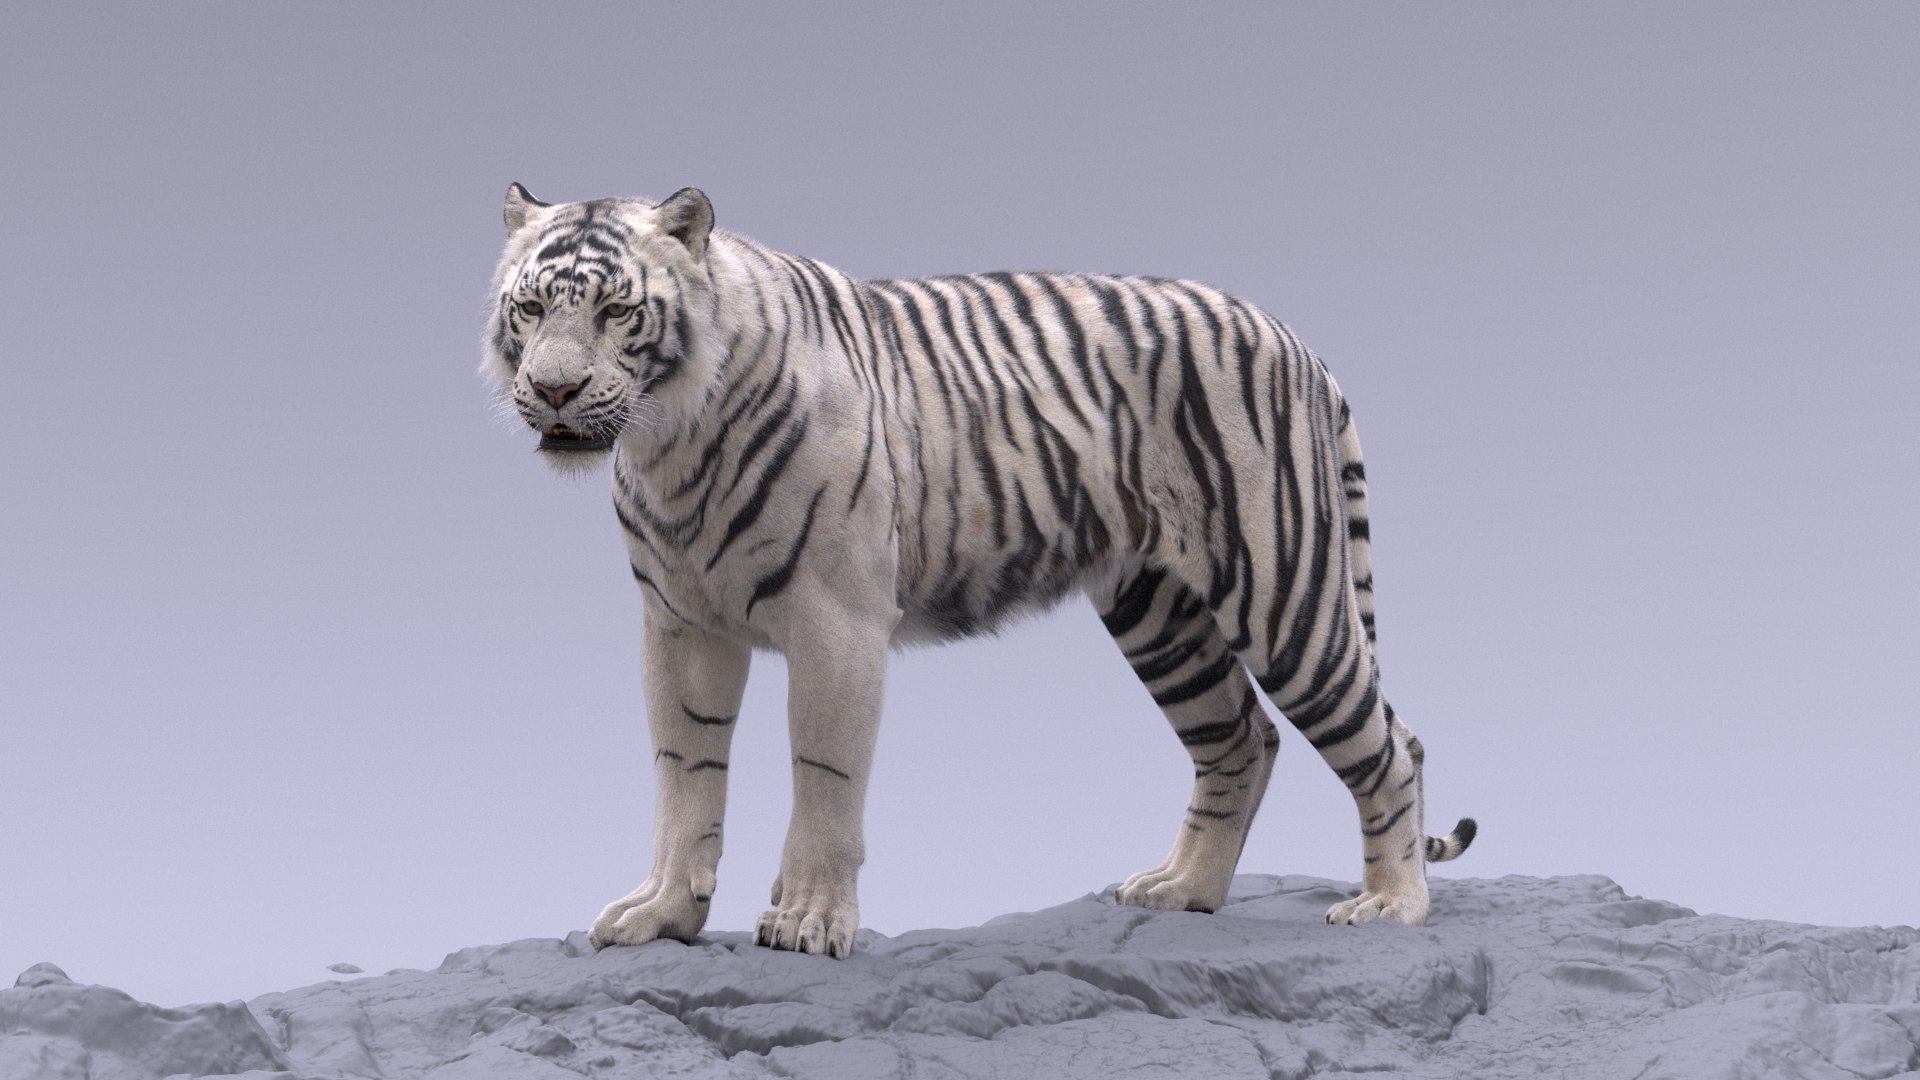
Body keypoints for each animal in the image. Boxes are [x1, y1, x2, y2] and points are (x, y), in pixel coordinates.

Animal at [482, 183, 1476, 959]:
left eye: (616, 312)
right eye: (530, 311)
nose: (557, 390)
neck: (669, 443)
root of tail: (1293, 336)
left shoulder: (836, 619)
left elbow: (823, 773)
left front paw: (807, 922)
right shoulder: (680, 622)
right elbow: (683, 769)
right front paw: (661, 914)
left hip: (1284, 593)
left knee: (1391, 744)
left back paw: (1391, 905)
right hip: (1158, 612)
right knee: (1240, 737)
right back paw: (1180, 891)